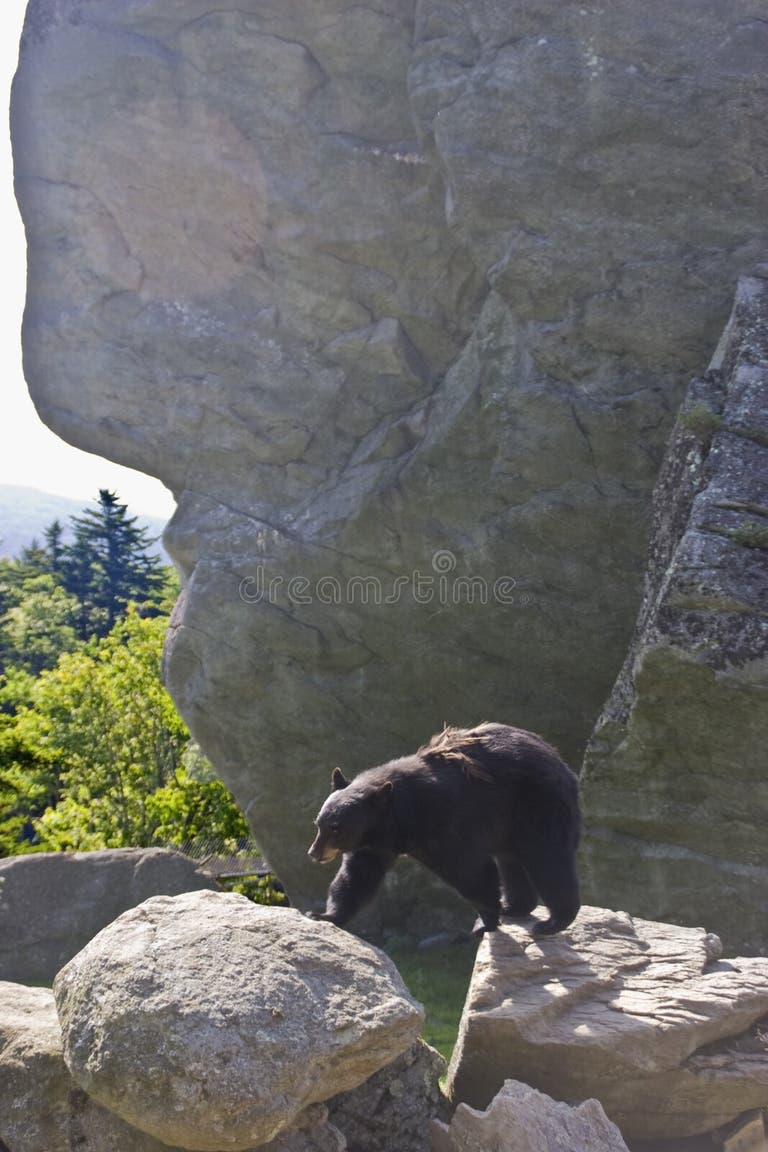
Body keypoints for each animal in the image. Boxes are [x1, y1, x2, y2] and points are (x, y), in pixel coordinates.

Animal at [307, 721, 581, 937]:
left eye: (336, 828)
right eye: (319, 824)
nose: (314, 853)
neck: (402, 815)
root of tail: (561, 762)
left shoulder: (445, 823)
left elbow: (470, 870)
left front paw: (485, 921)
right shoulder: (374, 844)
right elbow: (356, 877)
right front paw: (324, 915)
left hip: (537, 805)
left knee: (547, 857)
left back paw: (553, 921)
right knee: (511, 861)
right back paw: (515, 906)